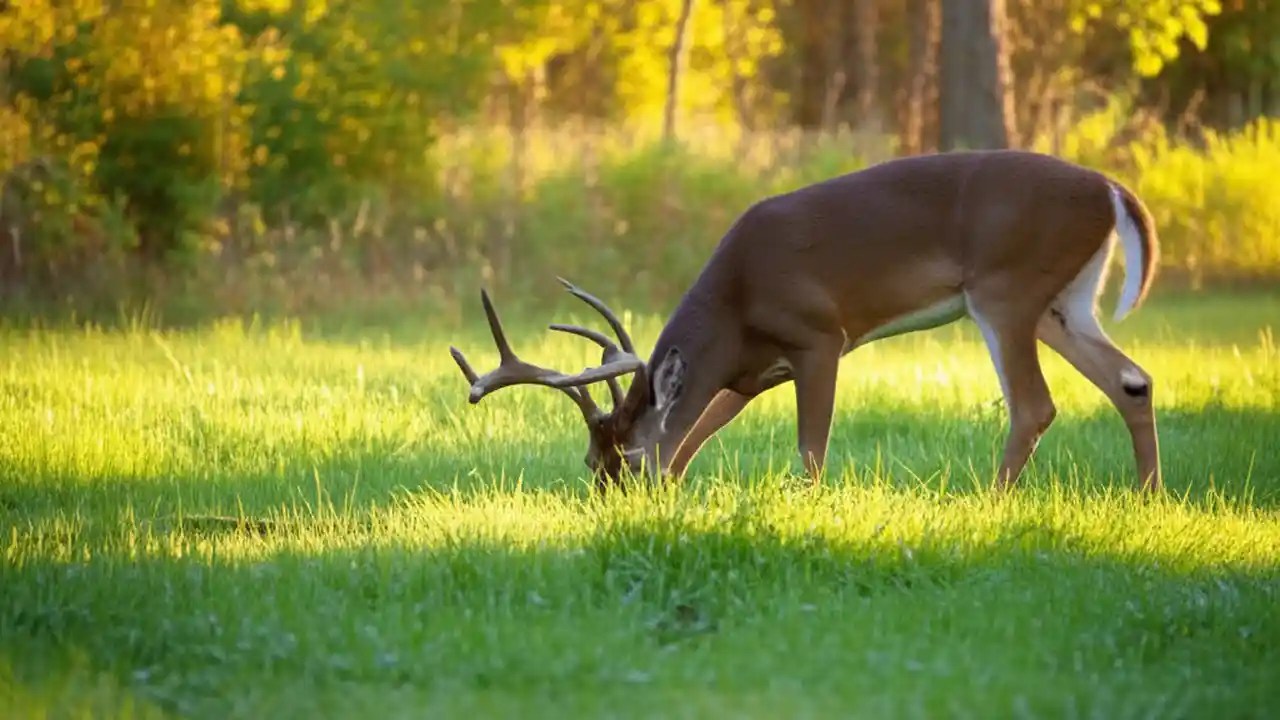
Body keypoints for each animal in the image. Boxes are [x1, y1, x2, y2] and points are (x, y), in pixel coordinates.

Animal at [449, 149, 1161, 493]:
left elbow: (810, 448)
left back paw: (992, 503)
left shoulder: (821, 337)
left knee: (1034, 405)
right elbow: (696, 437)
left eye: (624, 461)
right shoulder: (749, 373)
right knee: (1131, 380)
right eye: (589, 463)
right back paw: (1146, 498)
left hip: (1006, 289)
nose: (610, 507)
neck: (736, 302)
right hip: (1062, 303)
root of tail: (1111, 190)